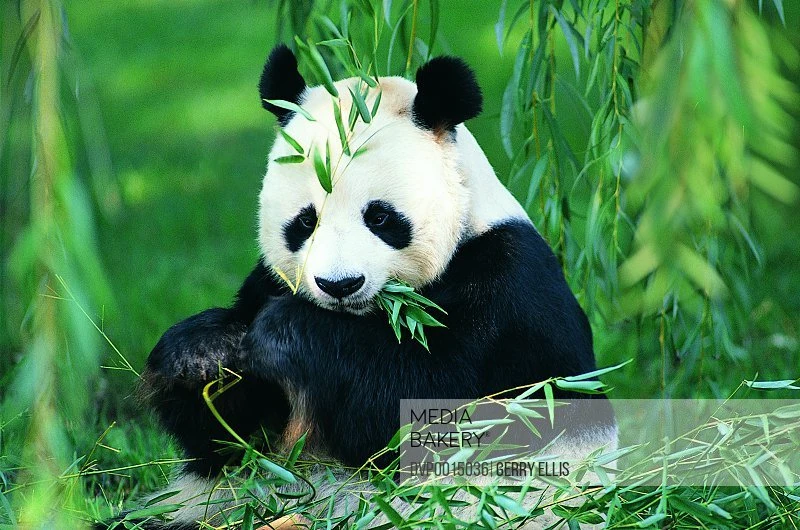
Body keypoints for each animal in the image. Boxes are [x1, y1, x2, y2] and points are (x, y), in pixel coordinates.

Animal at [104, 45, 616, 529]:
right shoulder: (267, 282)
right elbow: (229, 442)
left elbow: (427, 409)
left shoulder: (507, 290)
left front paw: (287, 333)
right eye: (305, 221)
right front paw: (202, 352)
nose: (339, 284)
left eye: (381, 217)